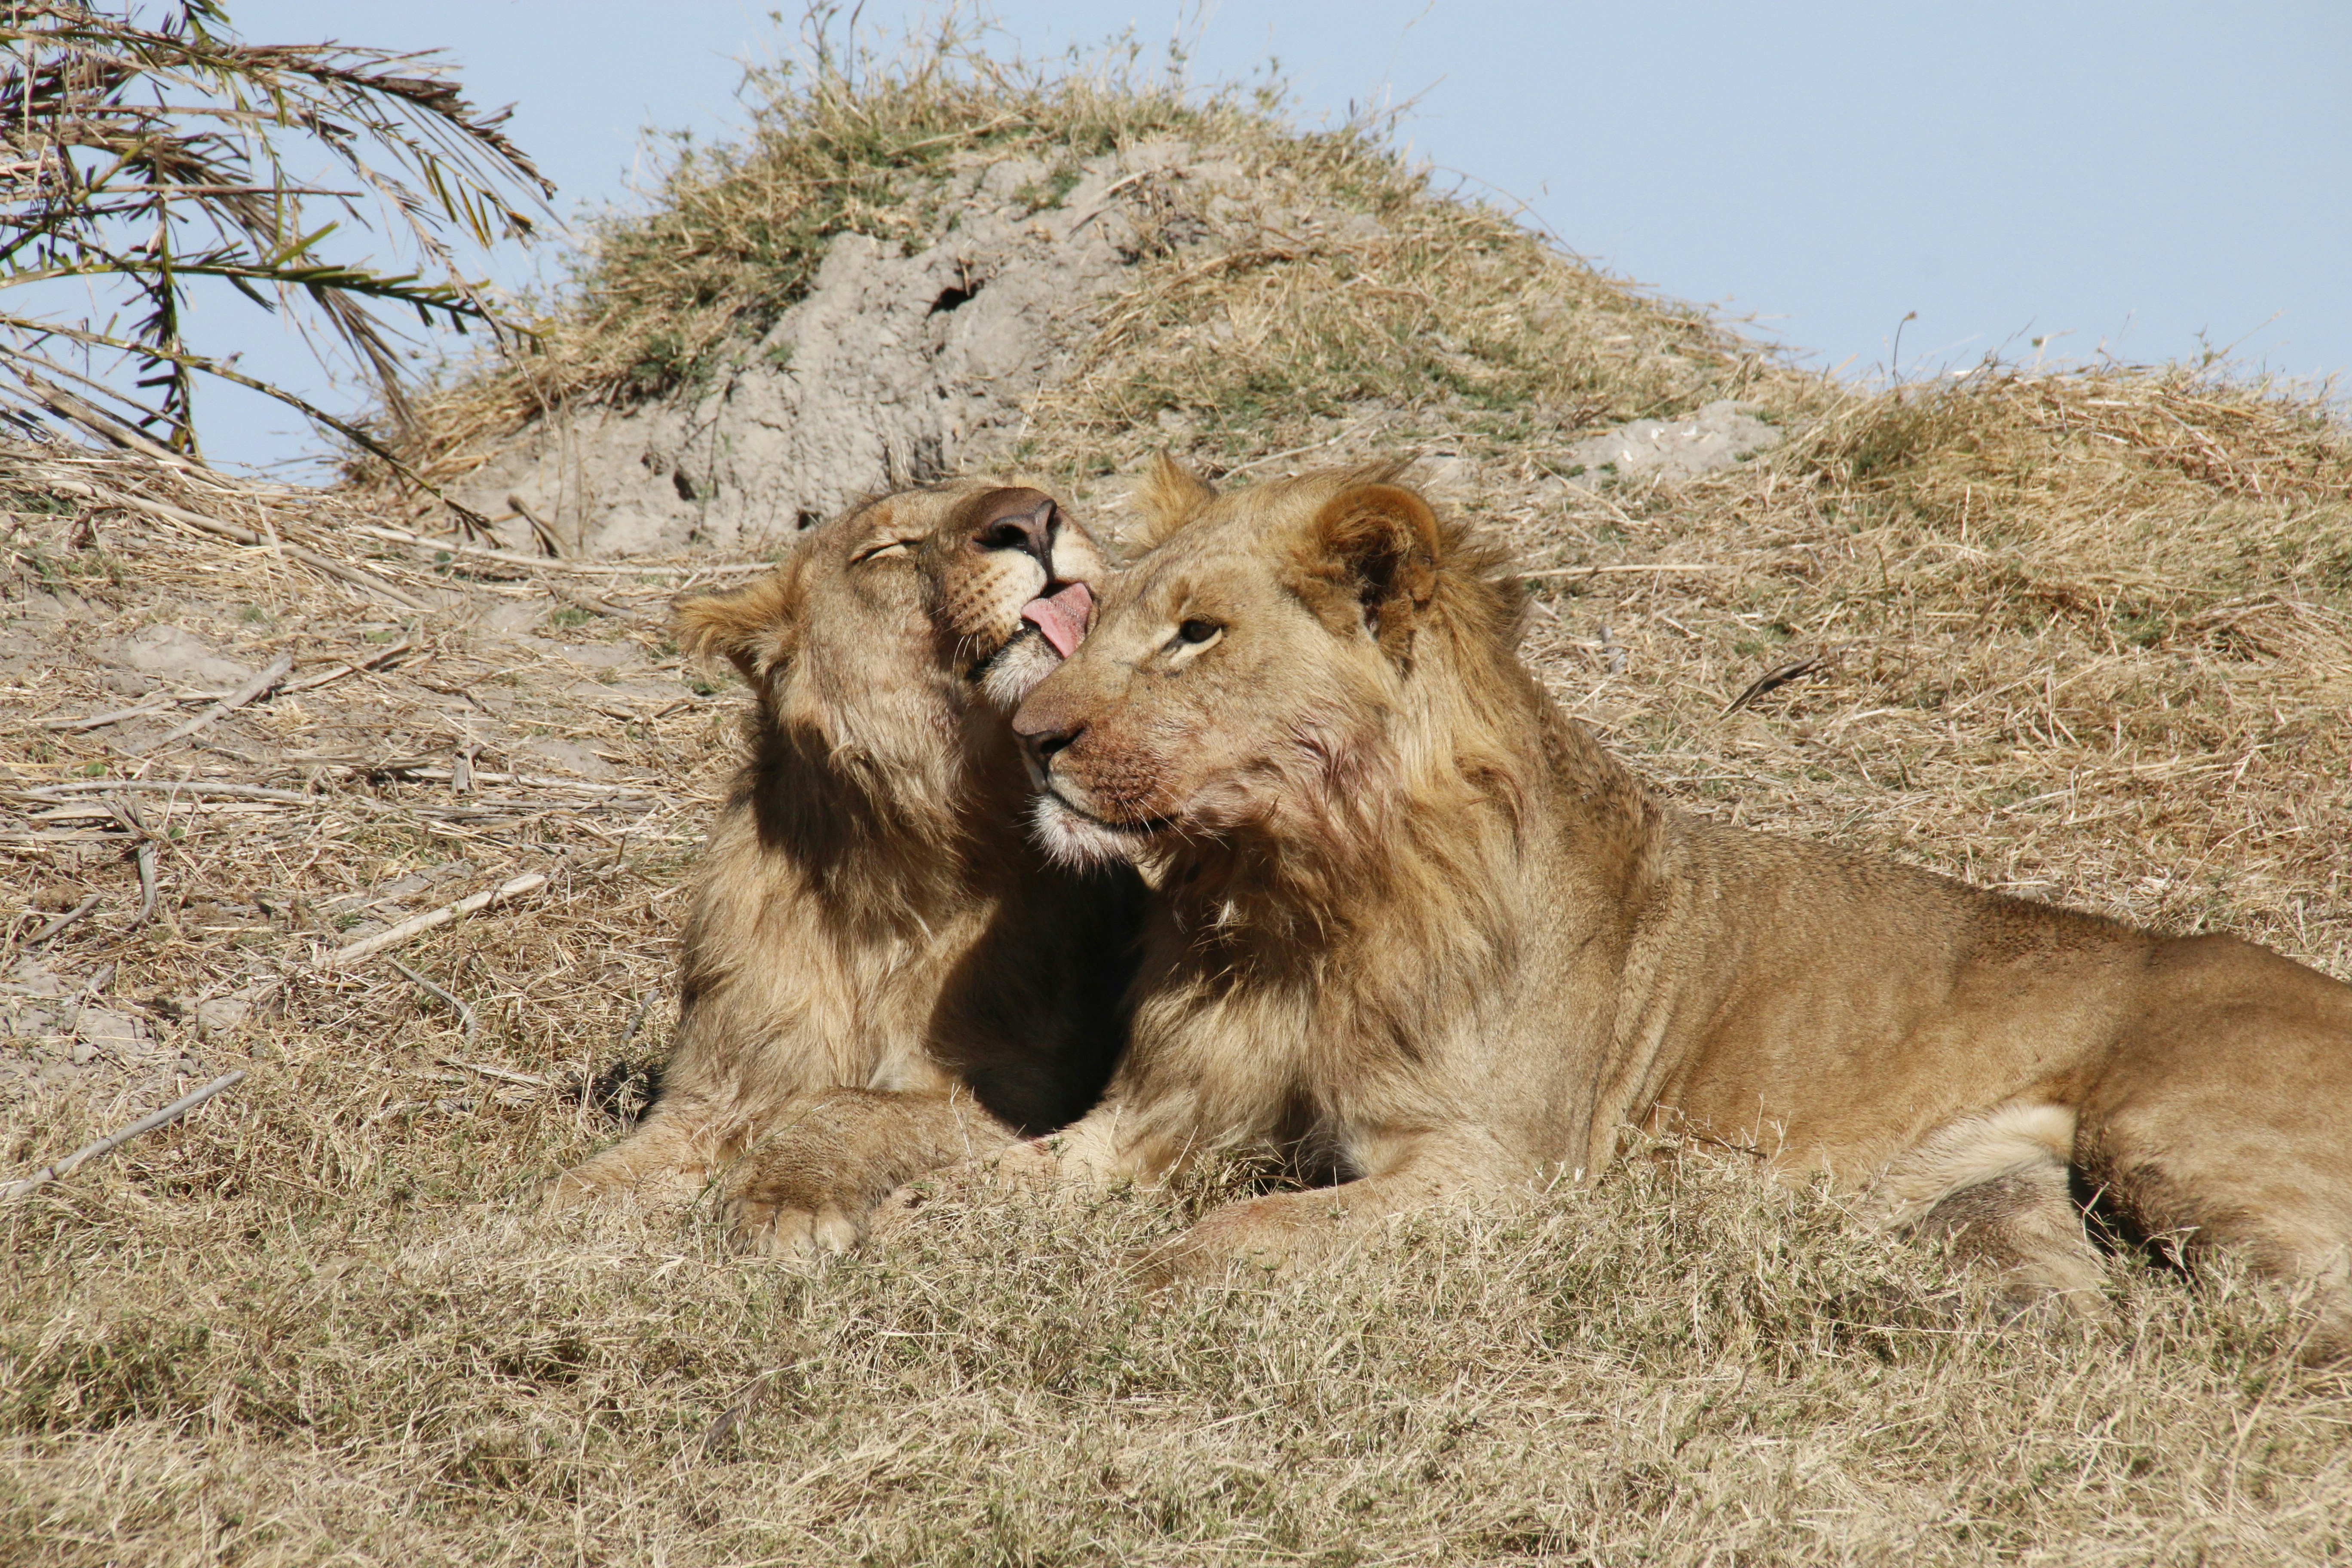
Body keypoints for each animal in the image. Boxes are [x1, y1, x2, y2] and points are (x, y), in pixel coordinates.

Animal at [544, 477, 1140, 1255]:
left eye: (1033, 493)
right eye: (886, 549)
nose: (1033, 518)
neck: (882, 877)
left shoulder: (1023, 1088)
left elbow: (848, 1103)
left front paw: (782, 1197)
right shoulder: (715, 1091)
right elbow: (601, 1174)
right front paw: (535, 1219)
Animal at [993, 456, 2352, 1358]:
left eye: (1197, 635)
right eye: (1097, 622)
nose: (1030, 738)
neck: (1290, 897)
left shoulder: (1498, 1174)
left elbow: (1251, 1227)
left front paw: (1139, 1277)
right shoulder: (1159, 1112)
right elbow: (996, 1178)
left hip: (2176, 1140)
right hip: (2000, 1208)